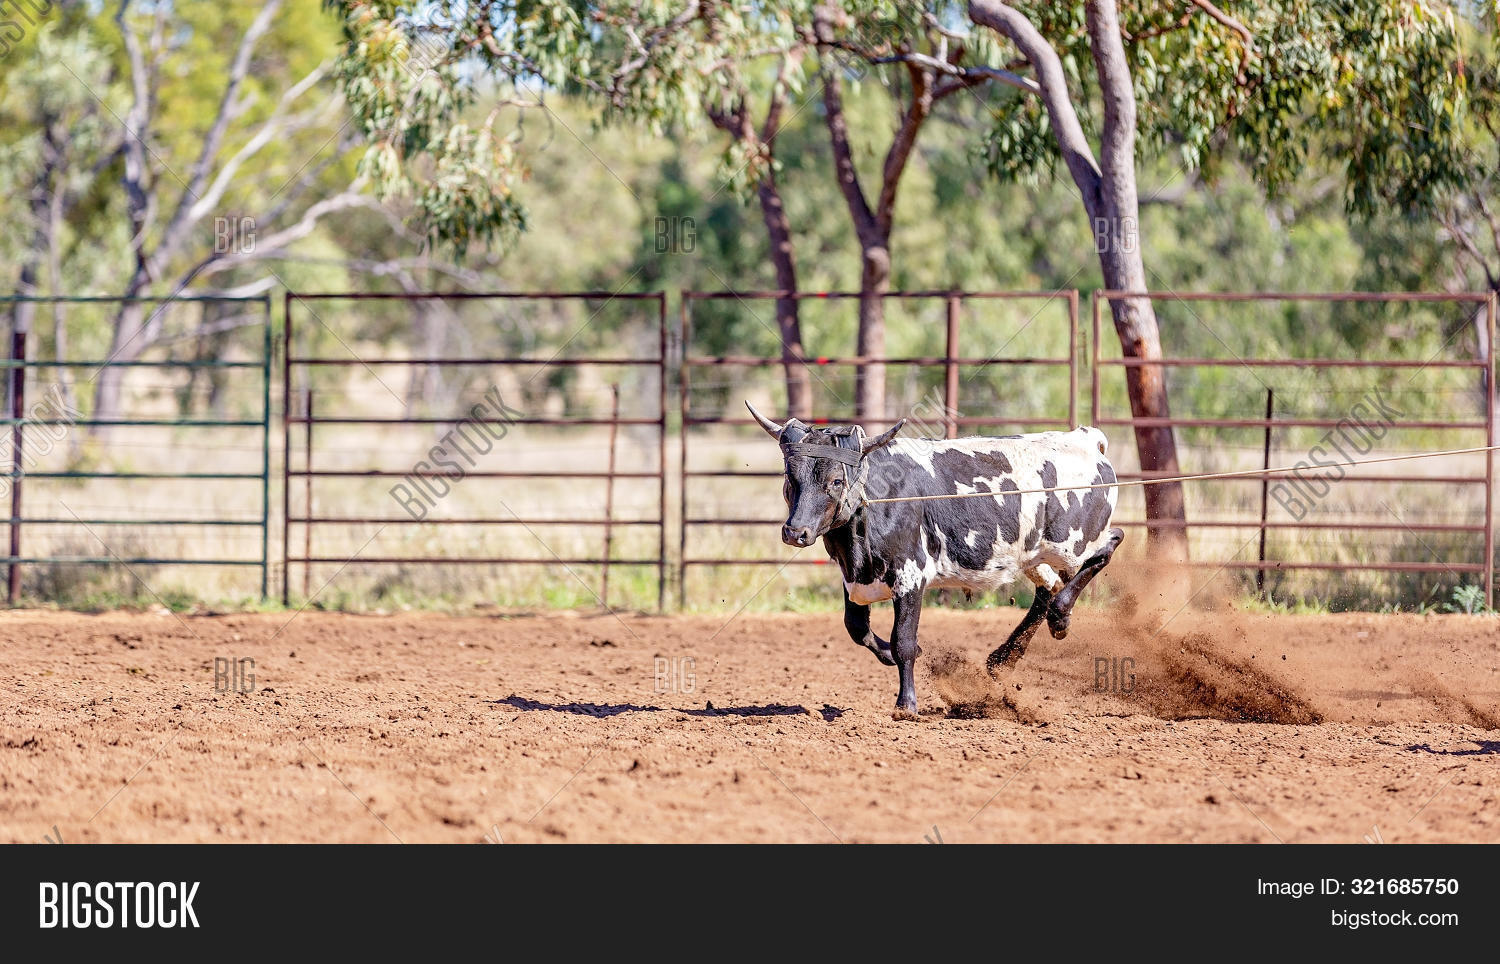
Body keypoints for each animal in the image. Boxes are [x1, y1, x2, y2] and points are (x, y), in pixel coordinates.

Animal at [747, 401, 1124, 720]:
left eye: (836, 480)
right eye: (790, 478)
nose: (796, 532)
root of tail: (1085, 439)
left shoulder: (910, 576)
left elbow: (903, 641)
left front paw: (906, 704)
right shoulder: (853, 578)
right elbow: (857, 628)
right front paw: (891, 655)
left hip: (1071, 543)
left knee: (1107, 546)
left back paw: (1060, 616)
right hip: (1032, 553)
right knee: (1050, 585)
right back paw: (1005, 657)